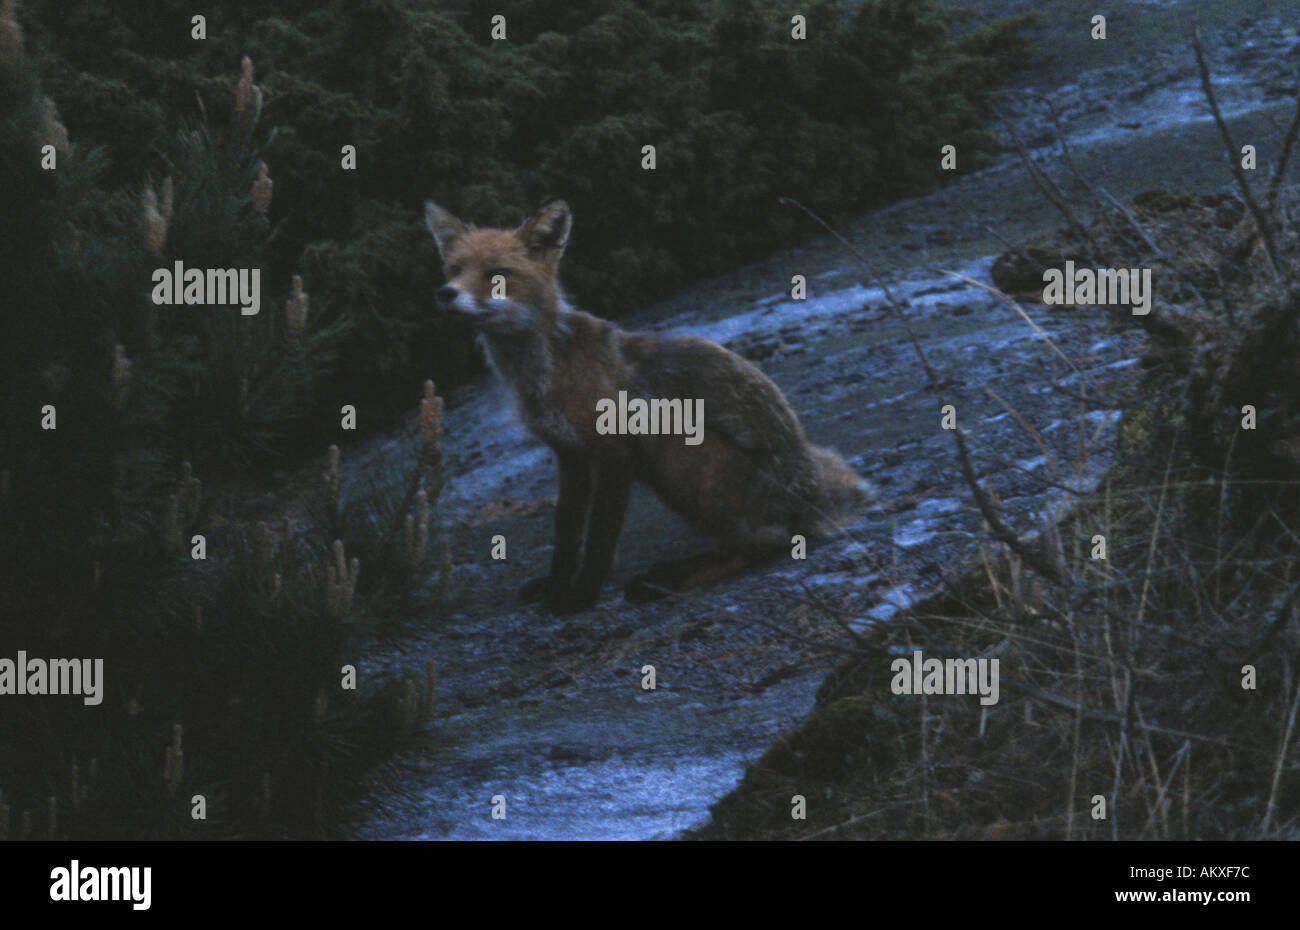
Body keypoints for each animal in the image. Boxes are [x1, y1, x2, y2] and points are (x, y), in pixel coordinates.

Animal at [426, 199, 870, 613]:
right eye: (455, 269)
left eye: (497, 274)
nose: (446, 294)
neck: (545, 368)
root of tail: (811, 493)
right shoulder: (569, 455)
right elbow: (565, 534)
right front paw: (555, 587)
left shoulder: (612, 453)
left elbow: (600, 537)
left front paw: (581, 597)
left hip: (678, 455)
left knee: (759, 545)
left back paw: (666, 580)